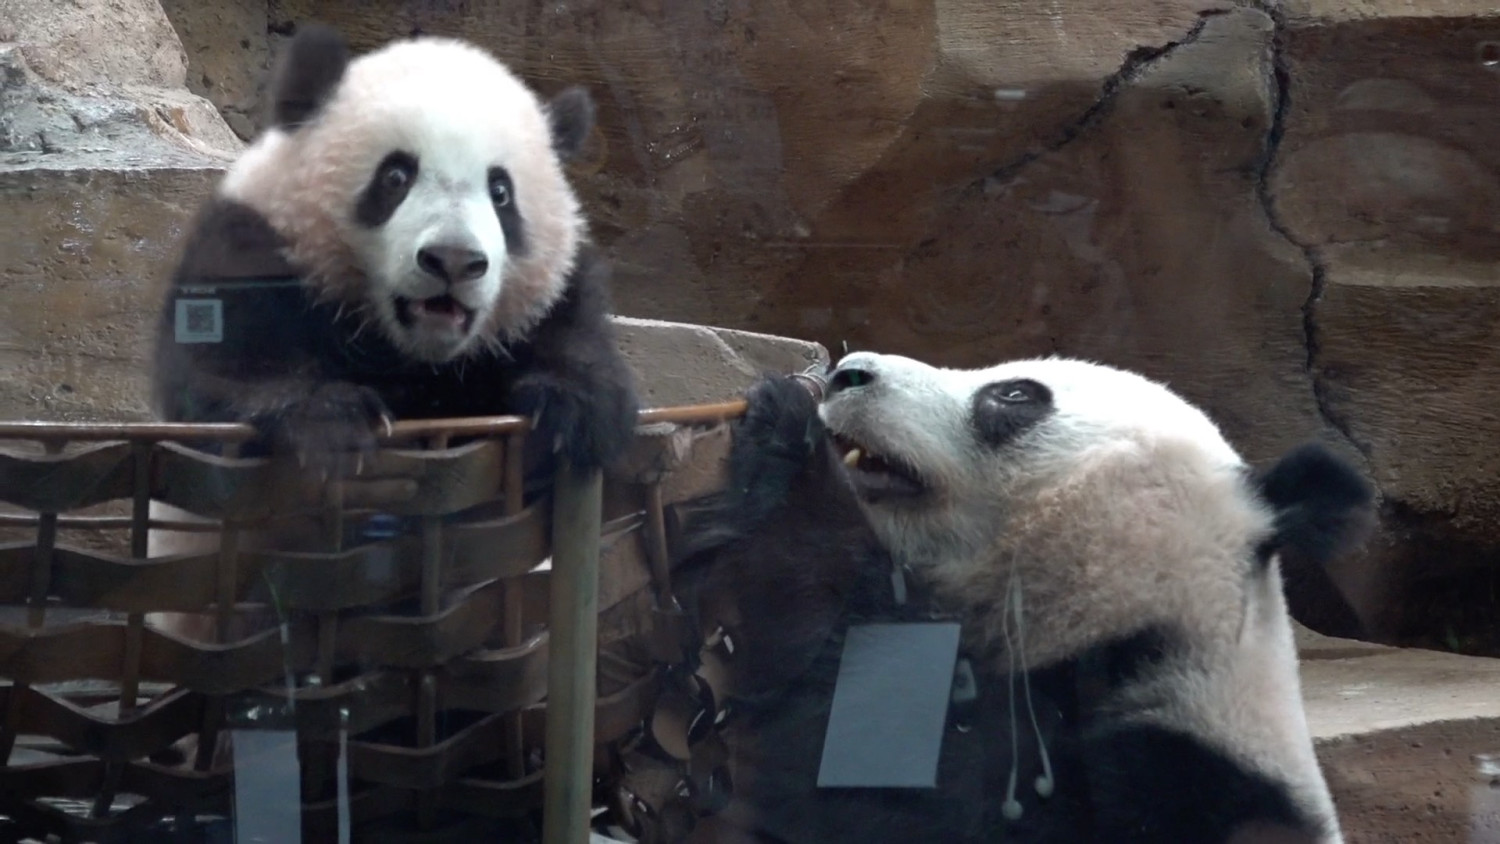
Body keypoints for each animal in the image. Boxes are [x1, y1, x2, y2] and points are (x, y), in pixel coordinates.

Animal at [151, 23, 637, 477]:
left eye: (501, 192)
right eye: (396, 176)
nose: (453, 259)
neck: (415, 356)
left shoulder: (558, 292)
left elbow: (579, 347)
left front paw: (568, 415)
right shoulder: (249, 247)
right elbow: (226, 369)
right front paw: (335, 420)